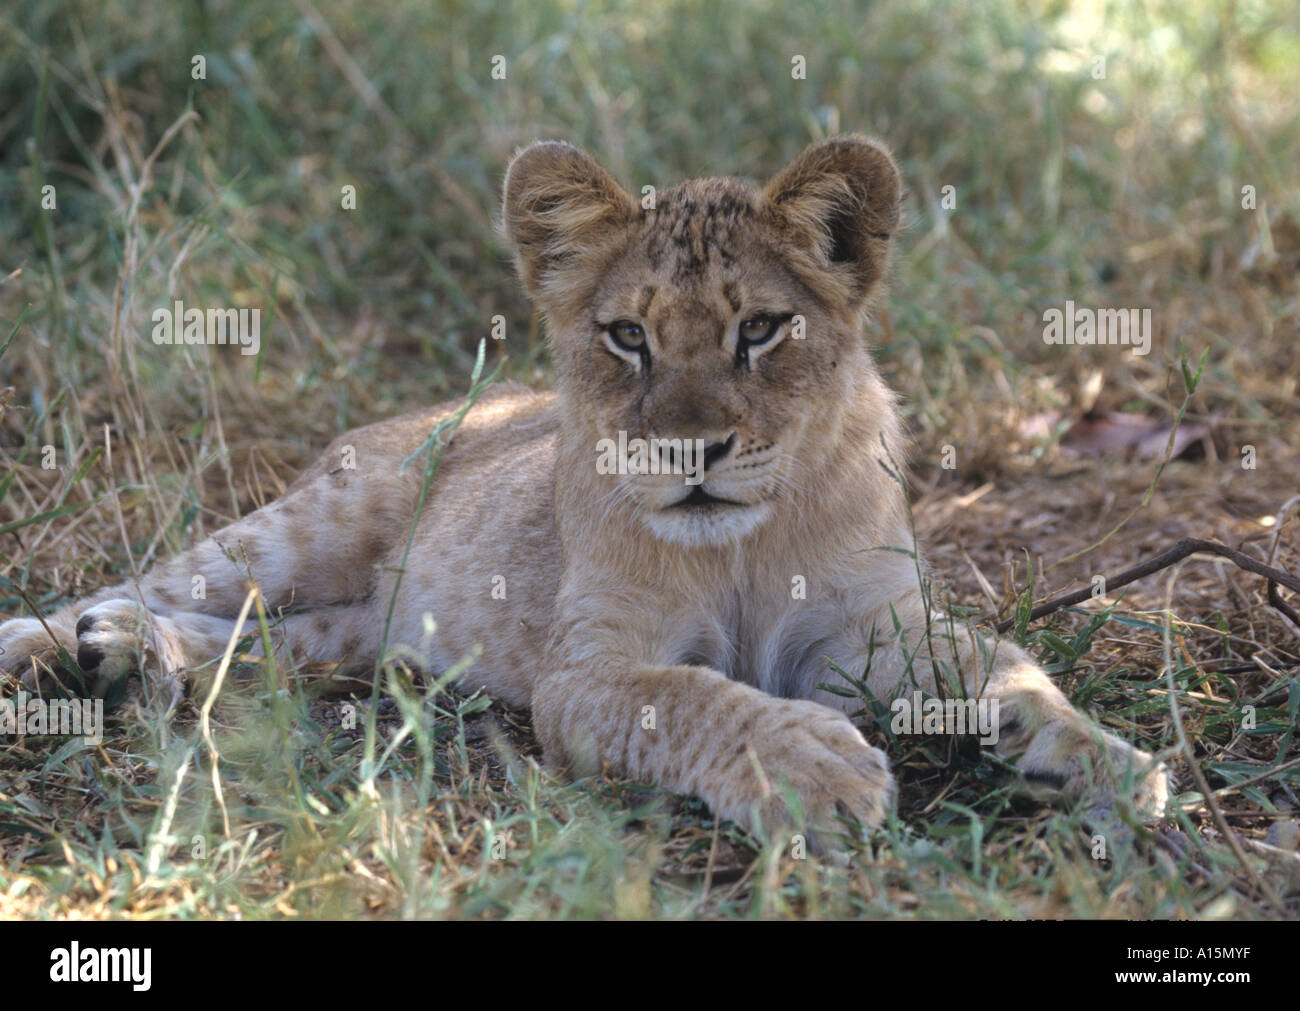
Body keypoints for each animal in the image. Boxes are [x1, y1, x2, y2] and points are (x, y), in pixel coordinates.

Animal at [0, 137, 1169, 849]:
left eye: (760, 329)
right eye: (627, 335)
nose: (691, 450)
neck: (745, 545)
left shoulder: (867, 633)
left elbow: (1002, 667)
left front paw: (1099, 762)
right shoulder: (587, 668)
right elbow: (695, 696)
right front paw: (810, 767)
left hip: (352, 637)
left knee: (253, 640)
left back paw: (132, 654)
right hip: (308, 526)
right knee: (158, 580)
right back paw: (62, 646)